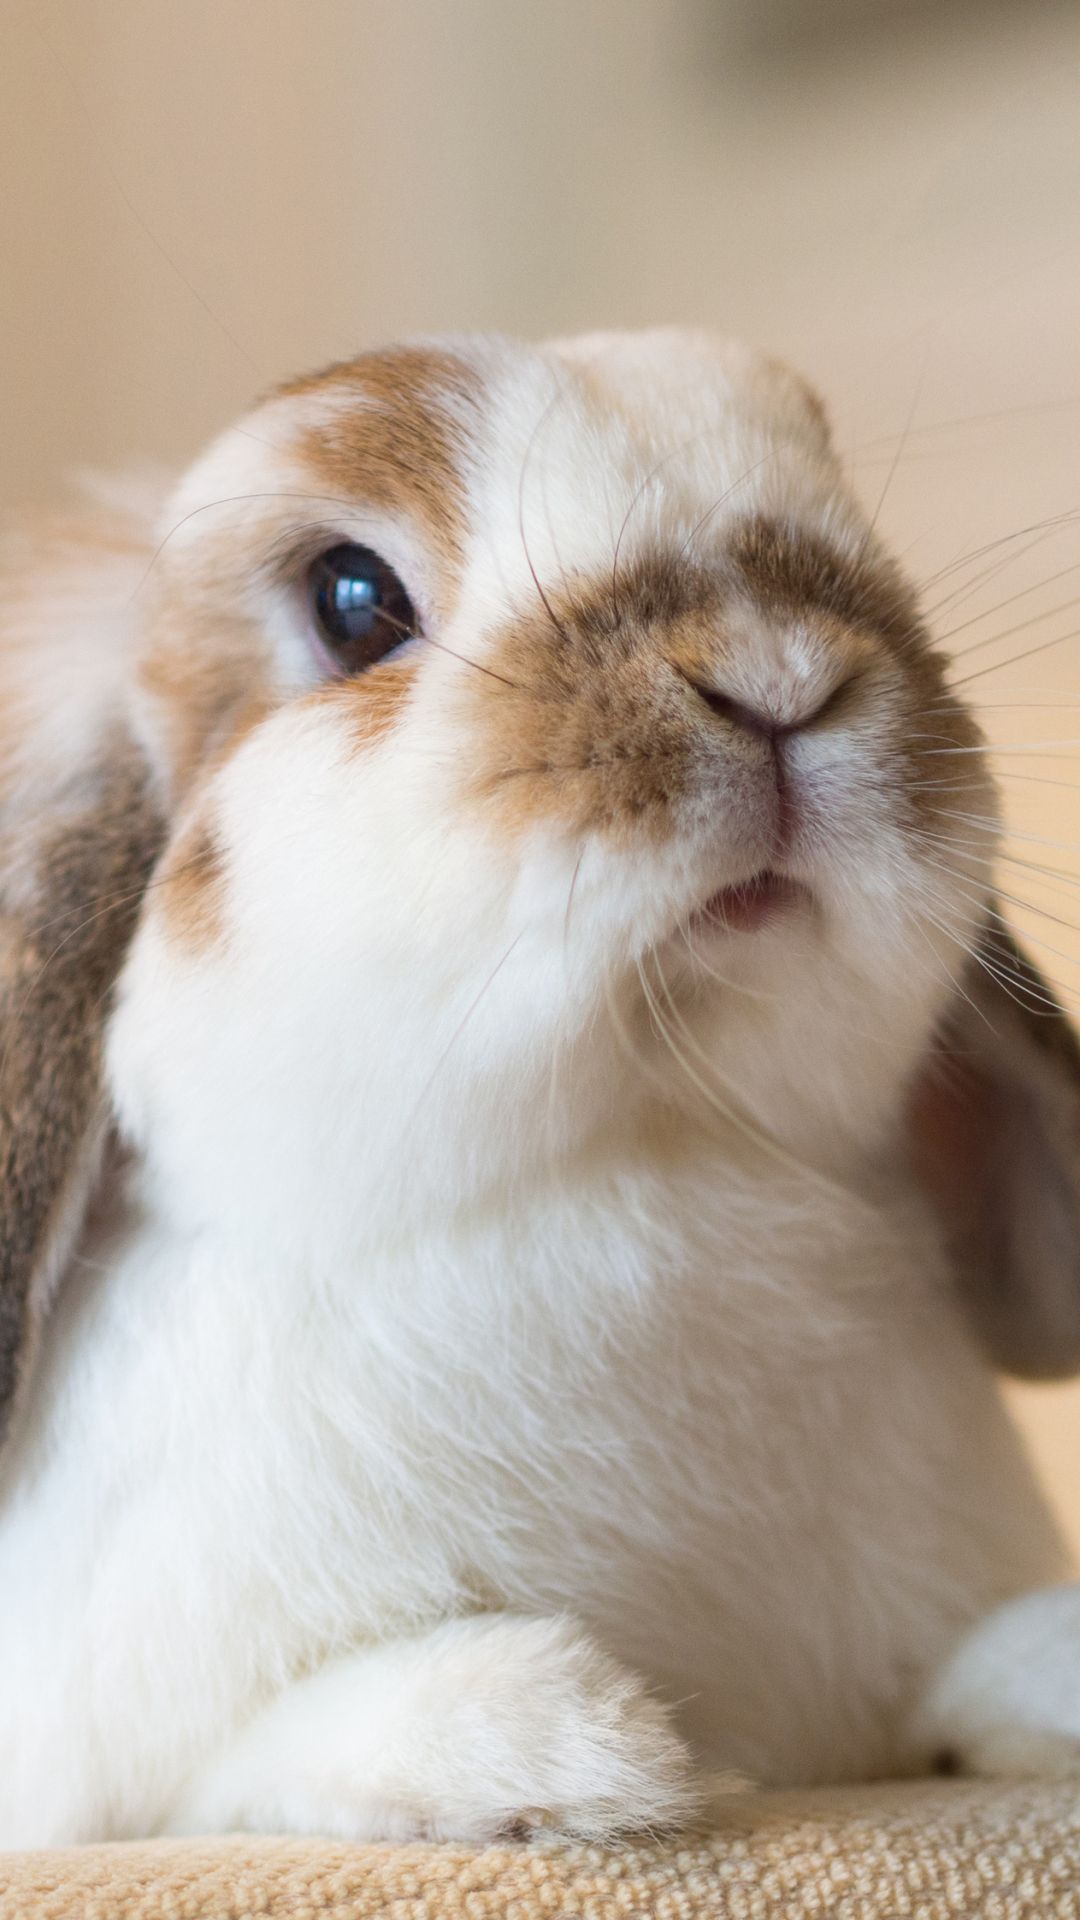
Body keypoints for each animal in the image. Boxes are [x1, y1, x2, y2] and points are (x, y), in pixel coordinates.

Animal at [1, 328, 1079, 1849]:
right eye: (352, 600)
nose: (777, 675)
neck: (647, 1145)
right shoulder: (106, 1783)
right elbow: (245, 1766)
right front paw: (567, 1746)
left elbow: (975, 1671)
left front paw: (1048, 1678)